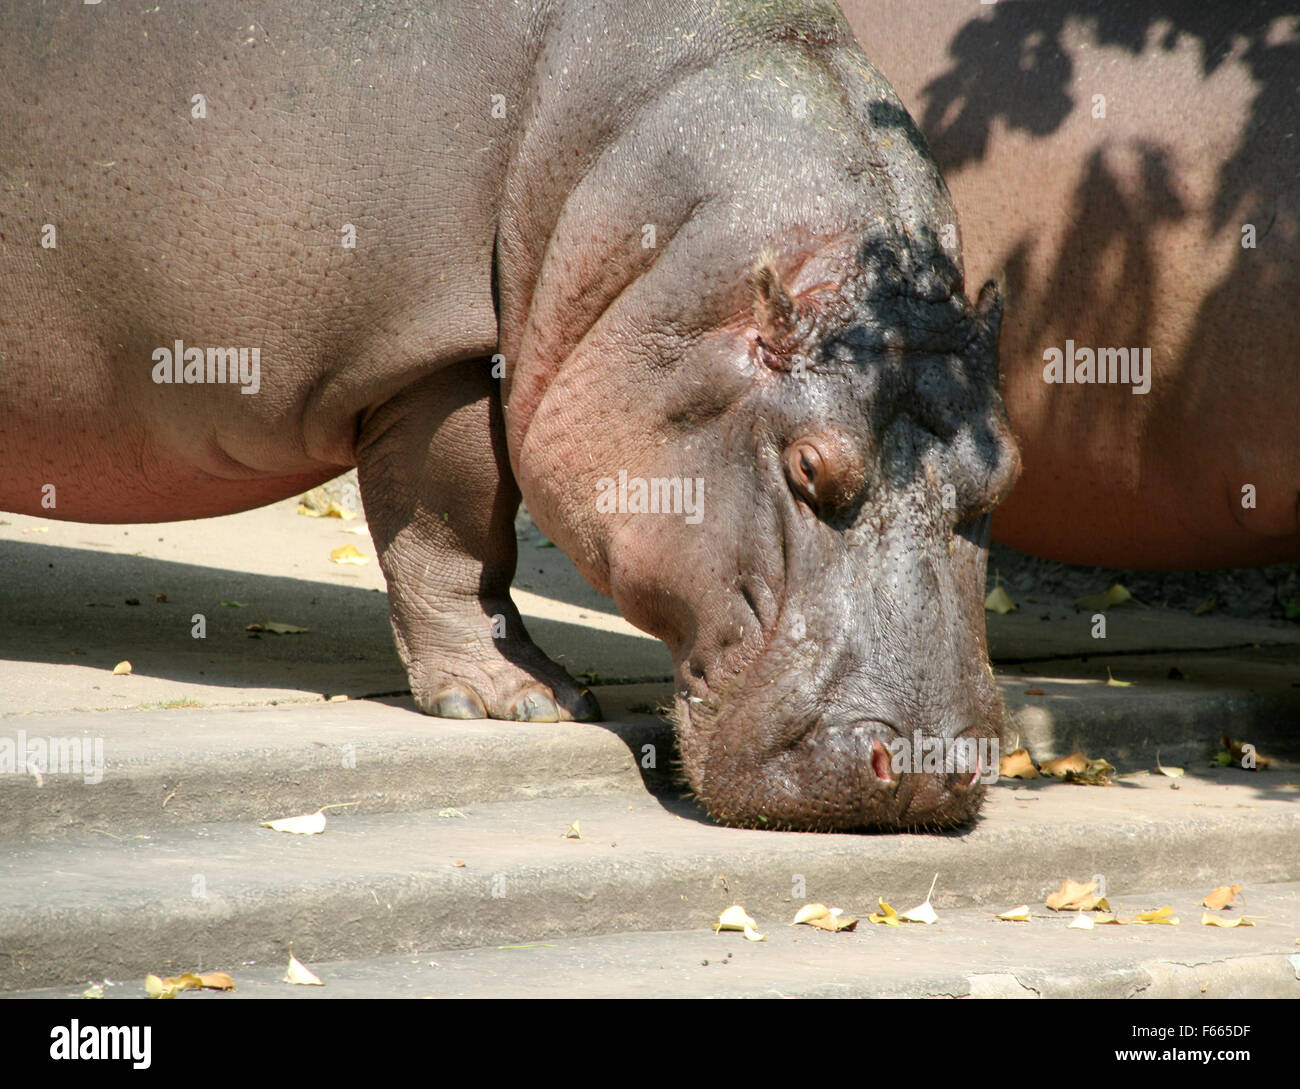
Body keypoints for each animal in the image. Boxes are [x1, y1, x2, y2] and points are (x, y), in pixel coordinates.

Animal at [0, 1, 1019, 831]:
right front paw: (523, 702)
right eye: (807, 466)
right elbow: (452, 531)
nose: (925, 767)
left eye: (1006, 471)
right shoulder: (444, 353)